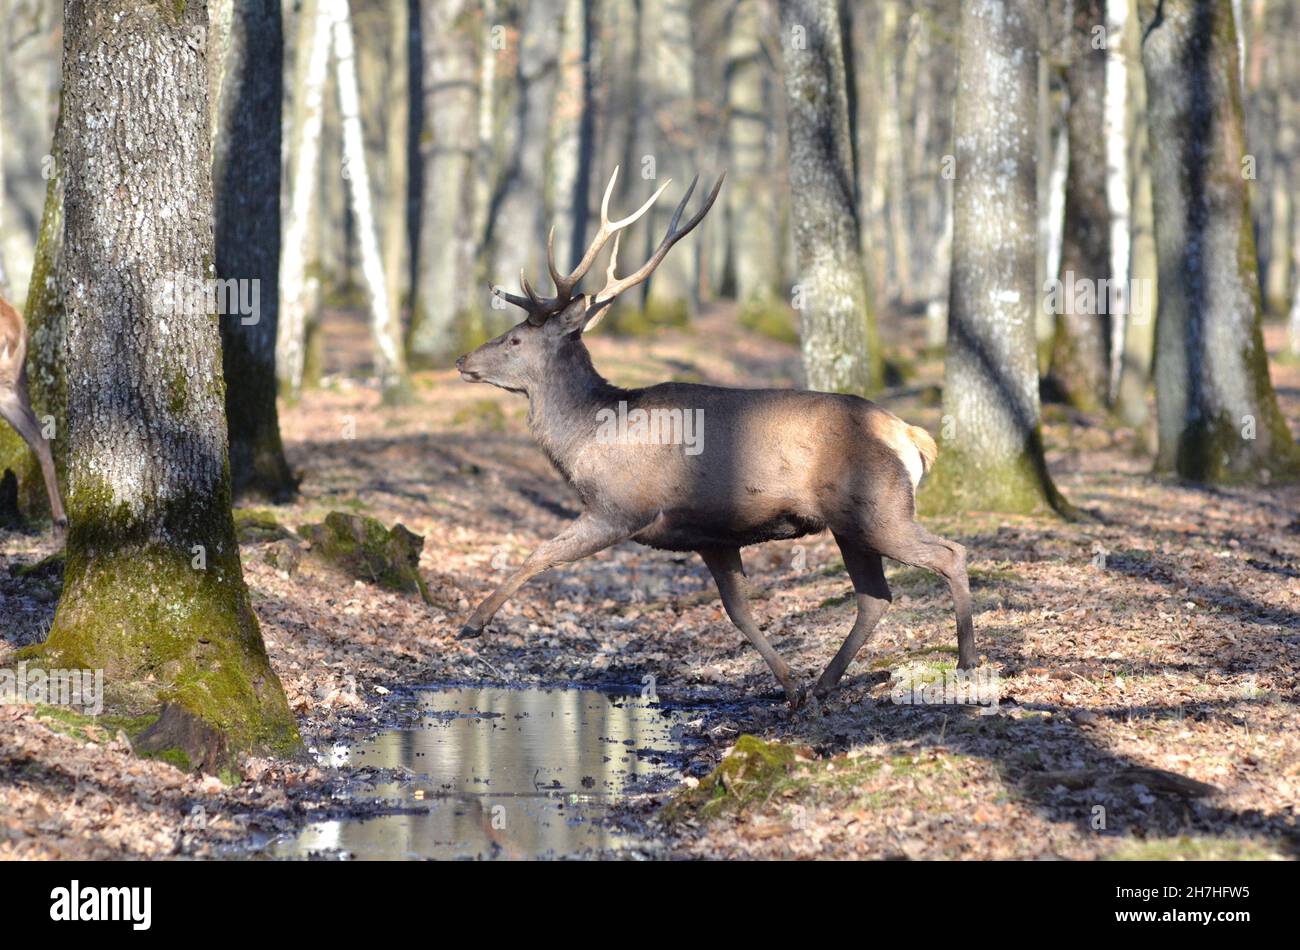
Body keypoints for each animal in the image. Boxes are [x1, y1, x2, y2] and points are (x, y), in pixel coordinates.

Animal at [455, 168, 975, 708]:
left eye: (515, 338)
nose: (462, 359)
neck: (585, 438)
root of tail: (910, 434)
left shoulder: (619, 508)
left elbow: (541, 554)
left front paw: (472, 624)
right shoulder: (712, 536)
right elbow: (739, 613)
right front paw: (790, 686)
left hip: (879, 507)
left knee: (950, 553)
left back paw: (965, 660)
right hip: (849, 522)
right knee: (876, 596)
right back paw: (825, 683)